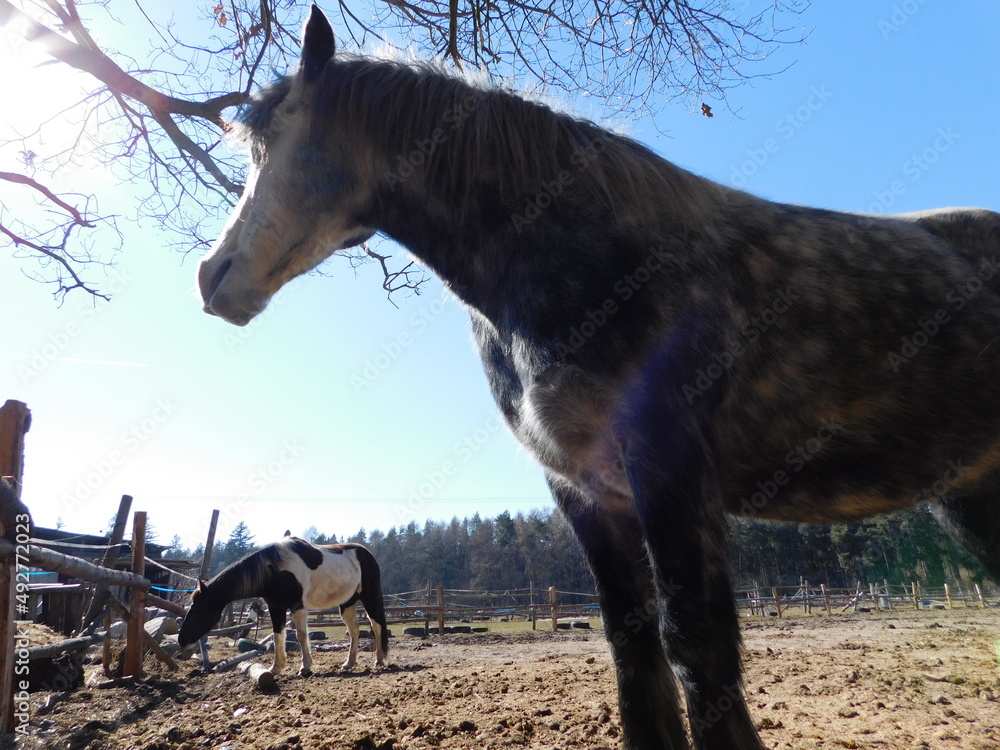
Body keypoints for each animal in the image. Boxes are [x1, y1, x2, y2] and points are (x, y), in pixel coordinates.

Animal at [178, 536, 388, 676]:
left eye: (198, 609)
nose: (182, 640)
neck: (275, 569)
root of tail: (367, 554)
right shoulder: (276, 607)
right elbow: (278, 635)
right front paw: (276, 668)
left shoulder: (298, 606)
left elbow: (302, 636)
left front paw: (305, 667)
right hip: (347, 604)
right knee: (354, 630)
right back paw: (349, 663)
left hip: (370, 598)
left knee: (377, 626)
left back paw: (379, 660)